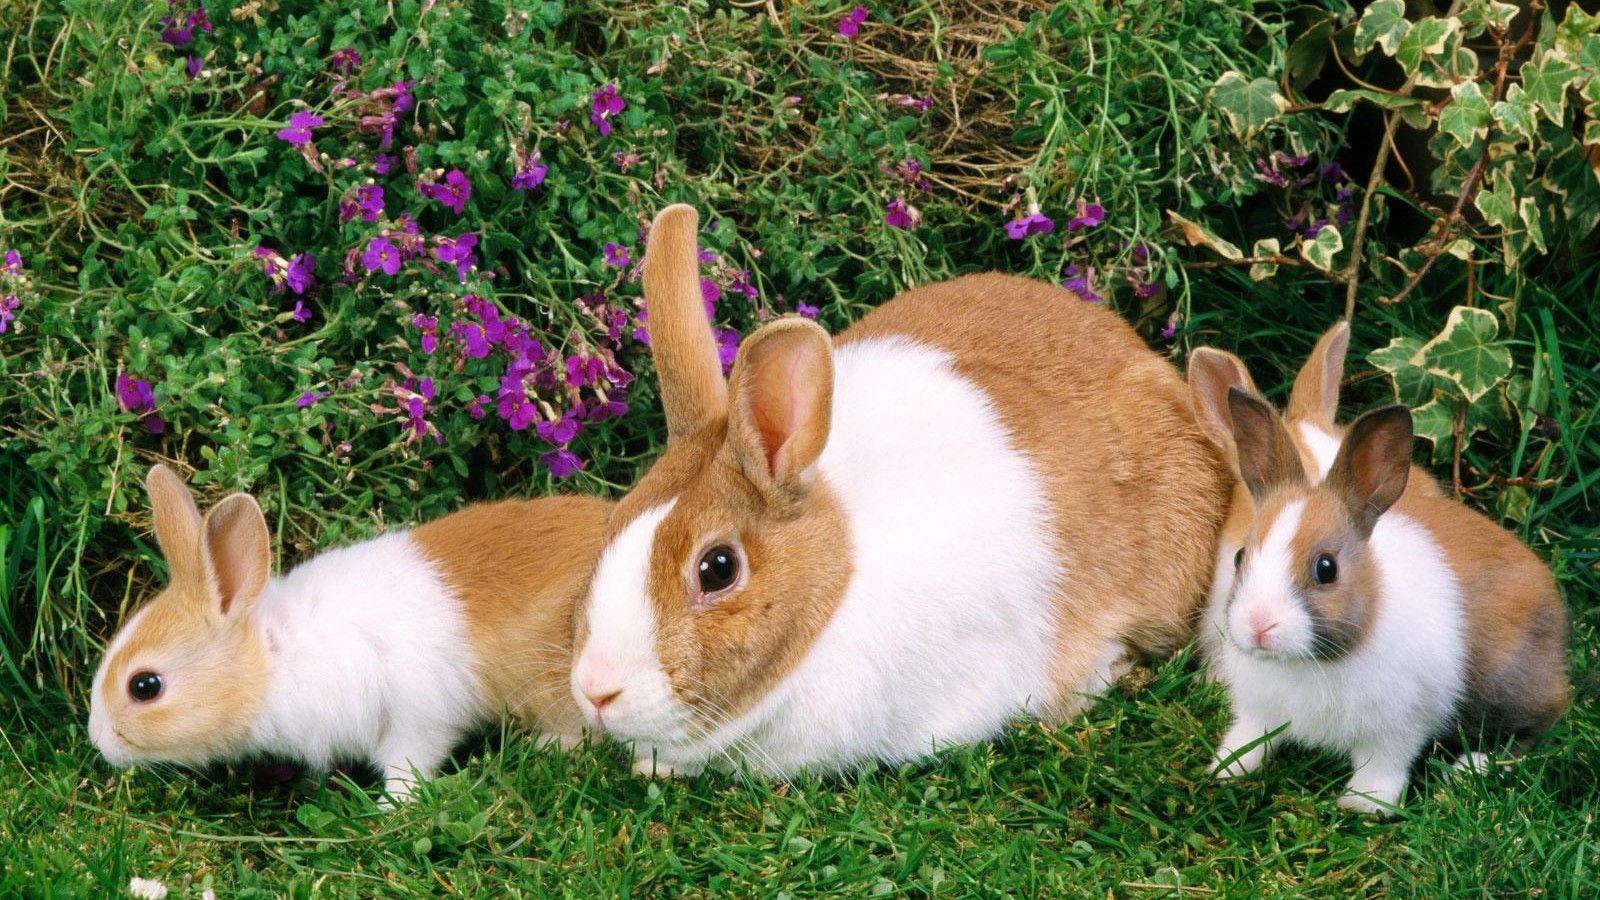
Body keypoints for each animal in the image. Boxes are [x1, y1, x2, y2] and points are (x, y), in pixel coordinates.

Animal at [88, 464, 611, 801]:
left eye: (145, 686)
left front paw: (390, 809)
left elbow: (409, 766)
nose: (98, 742)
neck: (274, 657)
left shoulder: (415, 720)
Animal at [1210, 390, 1570, 814]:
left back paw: (1471, 768)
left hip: (1508, 686)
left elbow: (1383, 763)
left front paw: (1362, 805)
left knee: (1540, 723)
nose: (1259, 625)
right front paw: (1226, 769)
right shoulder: (1258, 711)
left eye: (1326, 568)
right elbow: (1251, 738)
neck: (1309, 662)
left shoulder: (1399, 724)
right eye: (1239, 557)